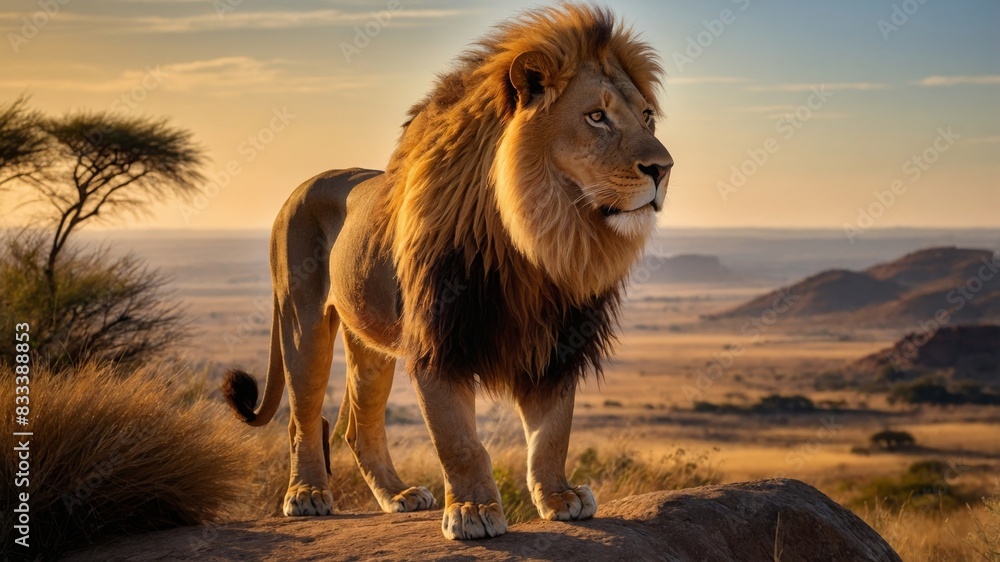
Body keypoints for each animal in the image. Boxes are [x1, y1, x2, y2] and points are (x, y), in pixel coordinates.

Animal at [222, 4, 672, 540]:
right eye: (597, 116)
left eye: (646, 116)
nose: (663, 168)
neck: (539, 239)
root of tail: (300, 186)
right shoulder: (439, 338)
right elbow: (458, 440)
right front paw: (474, 510)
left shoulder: (557, 342)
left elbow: (553, 432)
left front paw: (560, 496)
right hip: (302, 322)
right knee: (303, 418)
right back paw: (307, 494)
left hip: (369, 340)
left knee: (358, 424)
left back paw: (398, 495)